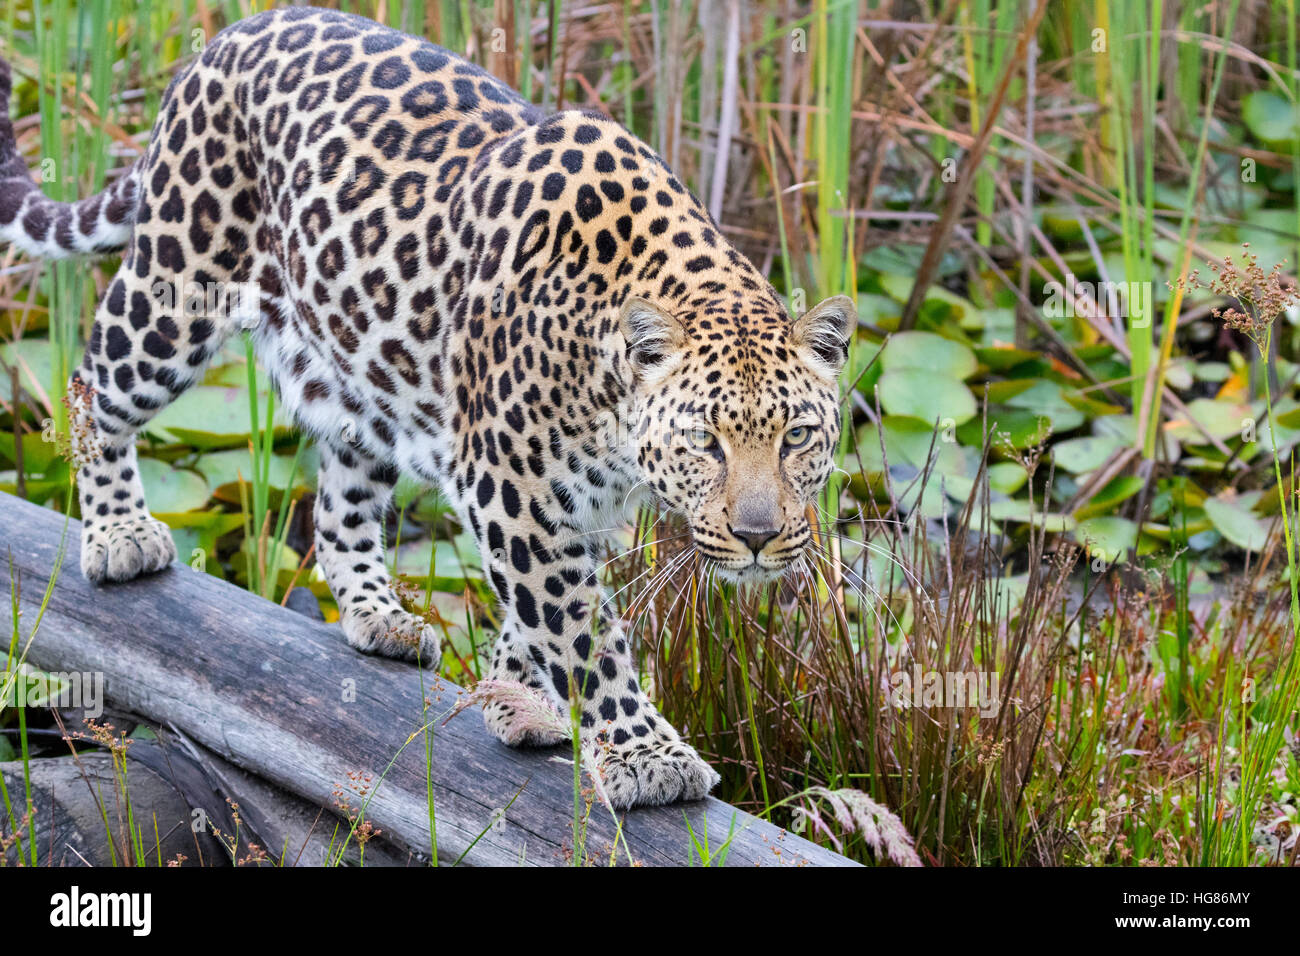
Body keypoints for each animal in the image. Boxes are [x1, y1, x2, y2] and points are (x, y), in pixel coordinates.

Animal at [0, 6, 856, 809]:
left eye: (798, 436)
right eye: (704, 440)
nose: (758, 537)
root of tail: (232, 34)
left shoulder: (566, 508)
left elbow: (536, 614)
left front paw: (519, 698)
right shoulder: (511, 489)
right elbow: (583, 634)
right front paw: (648, 755)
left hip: (360, 378)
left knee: (338, 506)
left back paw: (379, 615)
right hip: (174, 292)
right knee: (90, 387)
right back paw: (119, 535)